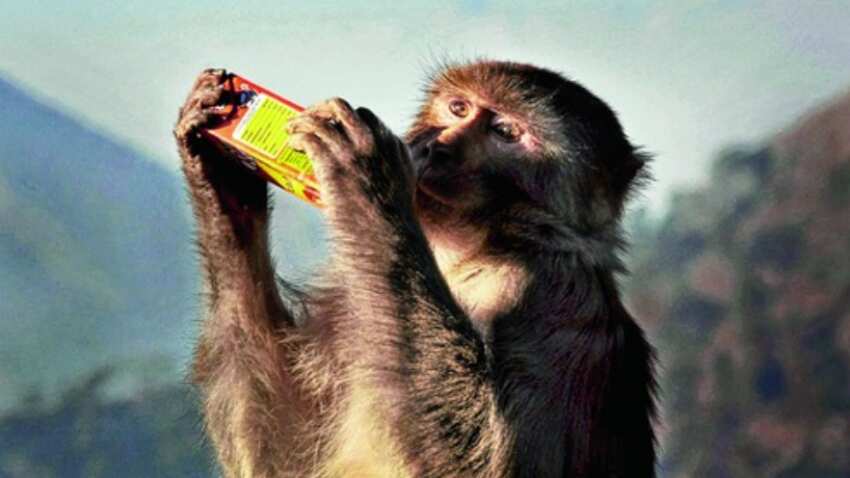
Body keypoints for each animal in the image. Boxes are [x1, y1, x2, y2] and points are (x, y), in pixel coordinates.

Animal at [174, 60, 657, 478]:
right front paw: (223, 178)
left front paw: (369, 175)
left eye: (504, 131)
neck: (472, 252)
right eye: (458, 108)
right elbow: (283, 462)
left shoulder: (556, 302)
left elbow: (491, 468)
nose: (438, 146)